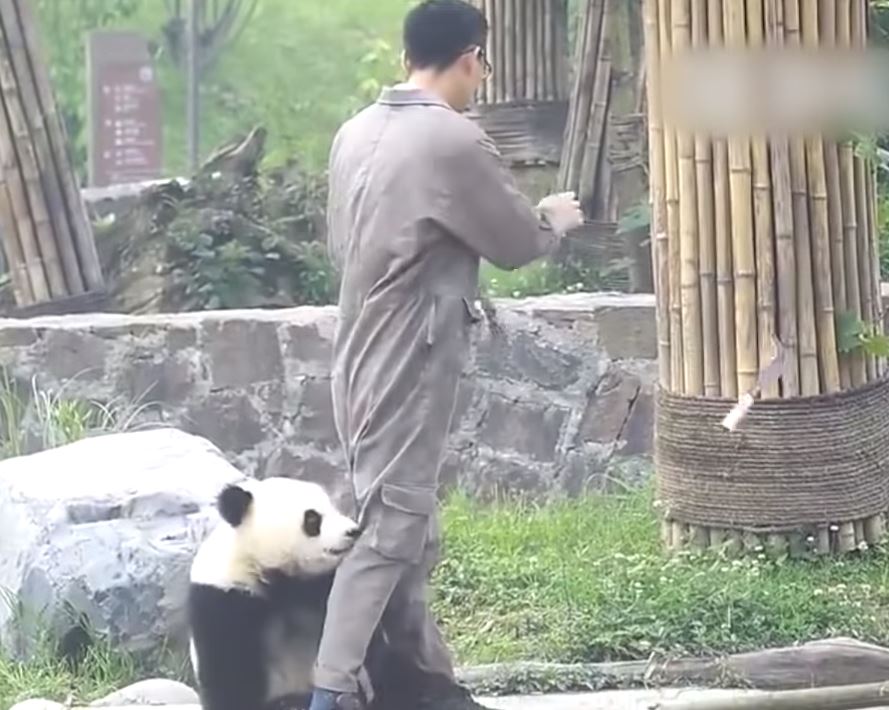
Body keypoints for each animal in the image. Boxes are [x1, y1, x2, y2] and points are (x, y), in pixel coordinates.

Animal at [187, 476, 363, 710]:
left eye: (334, 507)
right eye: (312, 518)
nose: (353, 530)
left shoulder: (323, 587)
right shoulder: (224, 596)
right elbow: (230, 668)